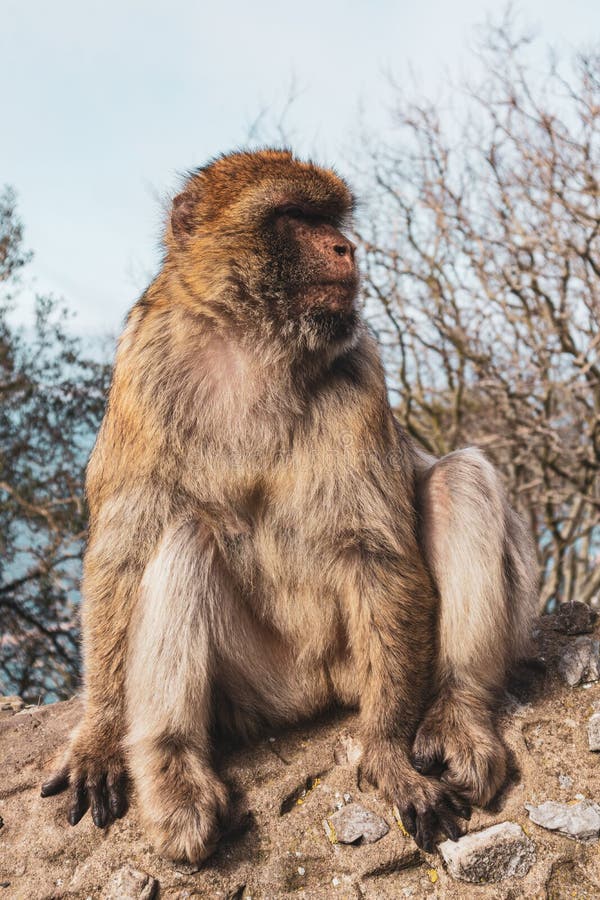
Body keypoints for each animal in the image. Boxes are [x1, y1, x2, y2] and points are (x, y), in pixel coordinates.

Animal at [41, 149, 537, 862]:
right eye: (295, 217)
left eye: (330, 219)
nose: (345, 248)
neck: (253, 346)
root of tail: (310, 695)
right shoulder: (141, 368)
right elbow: (125, 553)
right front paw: (101, 734)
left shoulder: (359, 369)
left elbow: (379, 552)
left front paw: (386, 753)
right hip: (255, 686)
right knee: (185, 534)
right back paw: (173, 774)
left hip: (354, 664)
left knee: (458, 478)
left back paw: (457, 711)